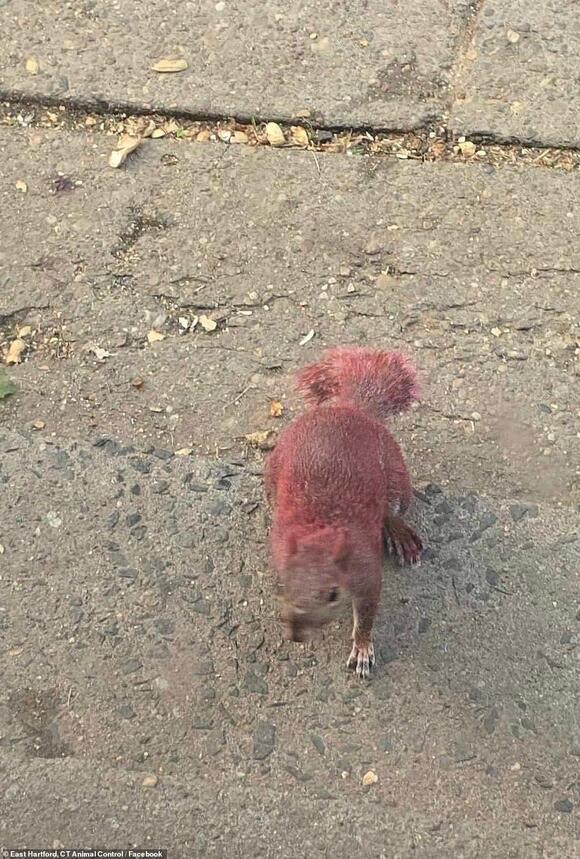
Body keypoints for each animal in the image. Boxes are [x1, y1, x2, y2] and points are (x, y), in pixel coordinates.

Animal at [265, 346, 423, 678]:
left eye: (333, 594)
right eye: (281, 584)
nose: (296, 635)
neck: (320, 527)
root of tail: (351, 408)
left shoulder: (367, 574)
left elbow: (366, 616)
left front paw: (362, 649)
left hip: (396, 474)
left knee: (393, 511)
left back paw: (399, 534)